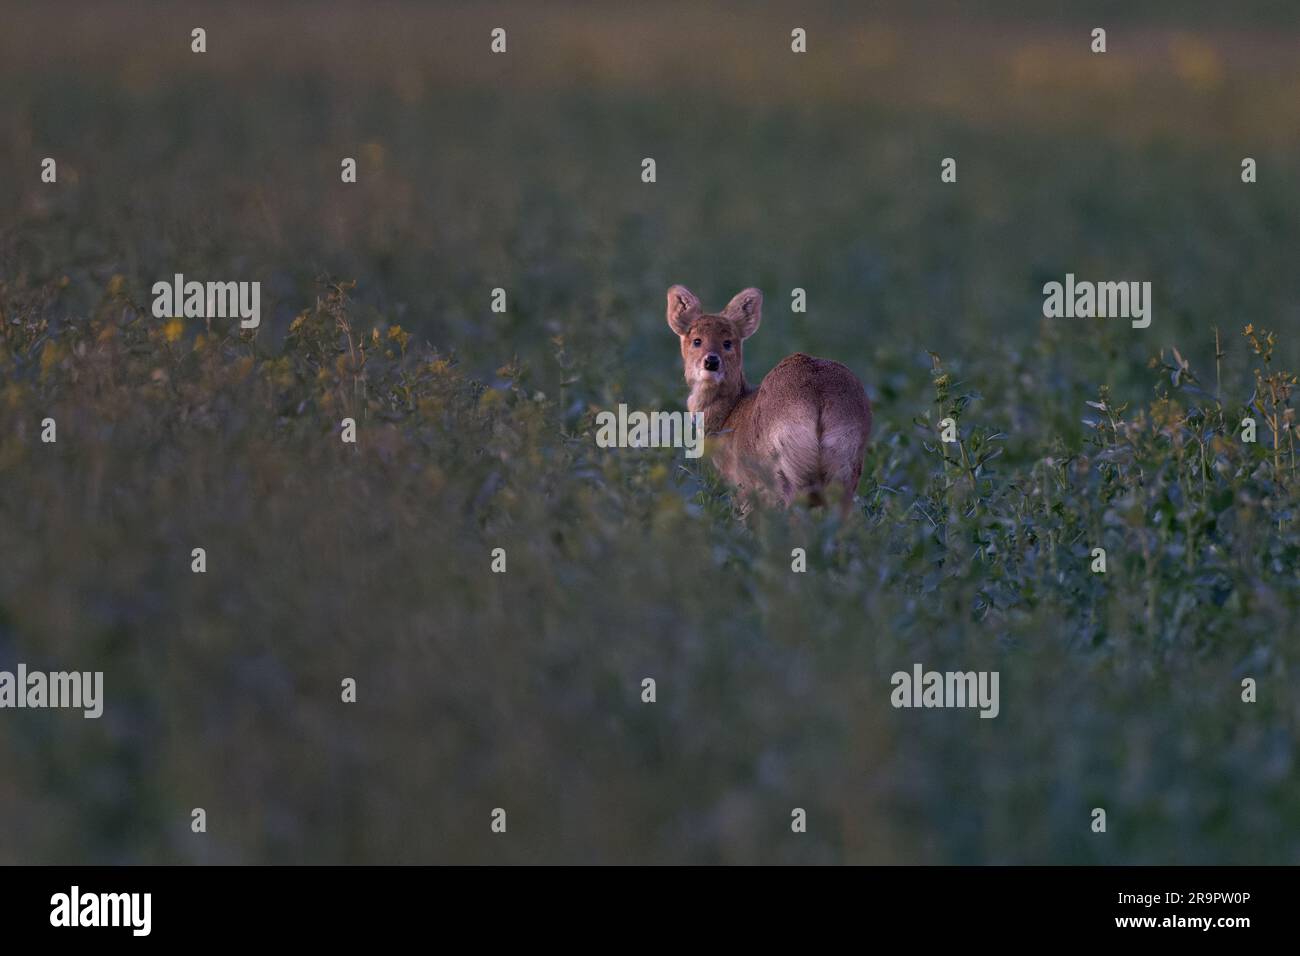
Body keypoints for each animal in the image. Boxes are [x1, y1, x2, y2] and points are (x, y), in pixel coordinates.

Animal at [666, 285, 873, 517]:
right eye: (697, 340)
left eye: (728, 342)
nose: (711, 361)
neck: (730, 416)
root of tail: (818, 394)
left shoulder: (745, 486)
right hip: (846, 466)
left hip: (787, 469)